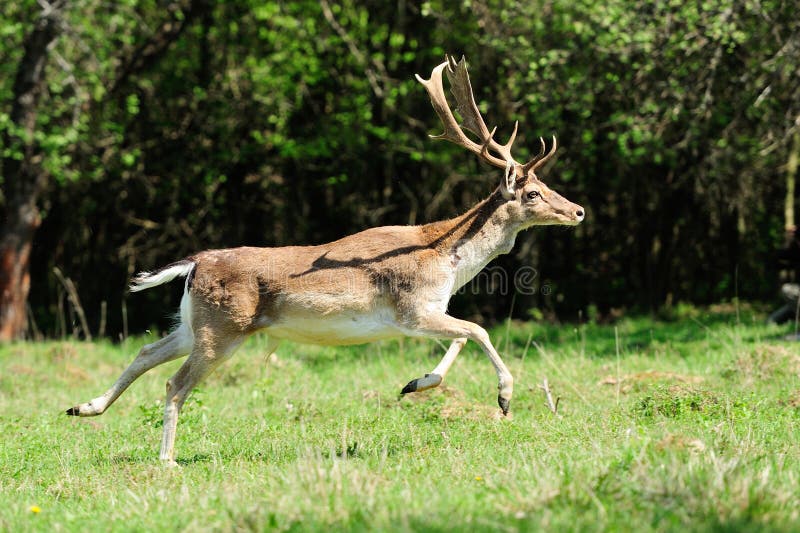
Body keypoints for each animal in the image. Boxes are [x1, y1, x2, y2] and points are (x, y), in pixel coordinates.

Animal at [66, 55, 584, 465]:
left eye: (547, 187)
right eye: (533, 193)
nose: (578, 210)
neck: (446, 259)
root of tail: (194, 264)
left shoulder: (424, 313)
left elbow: (462, 335)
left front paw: (415, 384)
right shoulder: (412, 308)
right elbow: (479, 329)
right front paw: (504, 399)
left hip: (195, 324)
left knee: (145, 351)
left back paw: (83, 408)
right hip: (222, 329)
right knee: (175, 383)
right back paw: (167, 460)